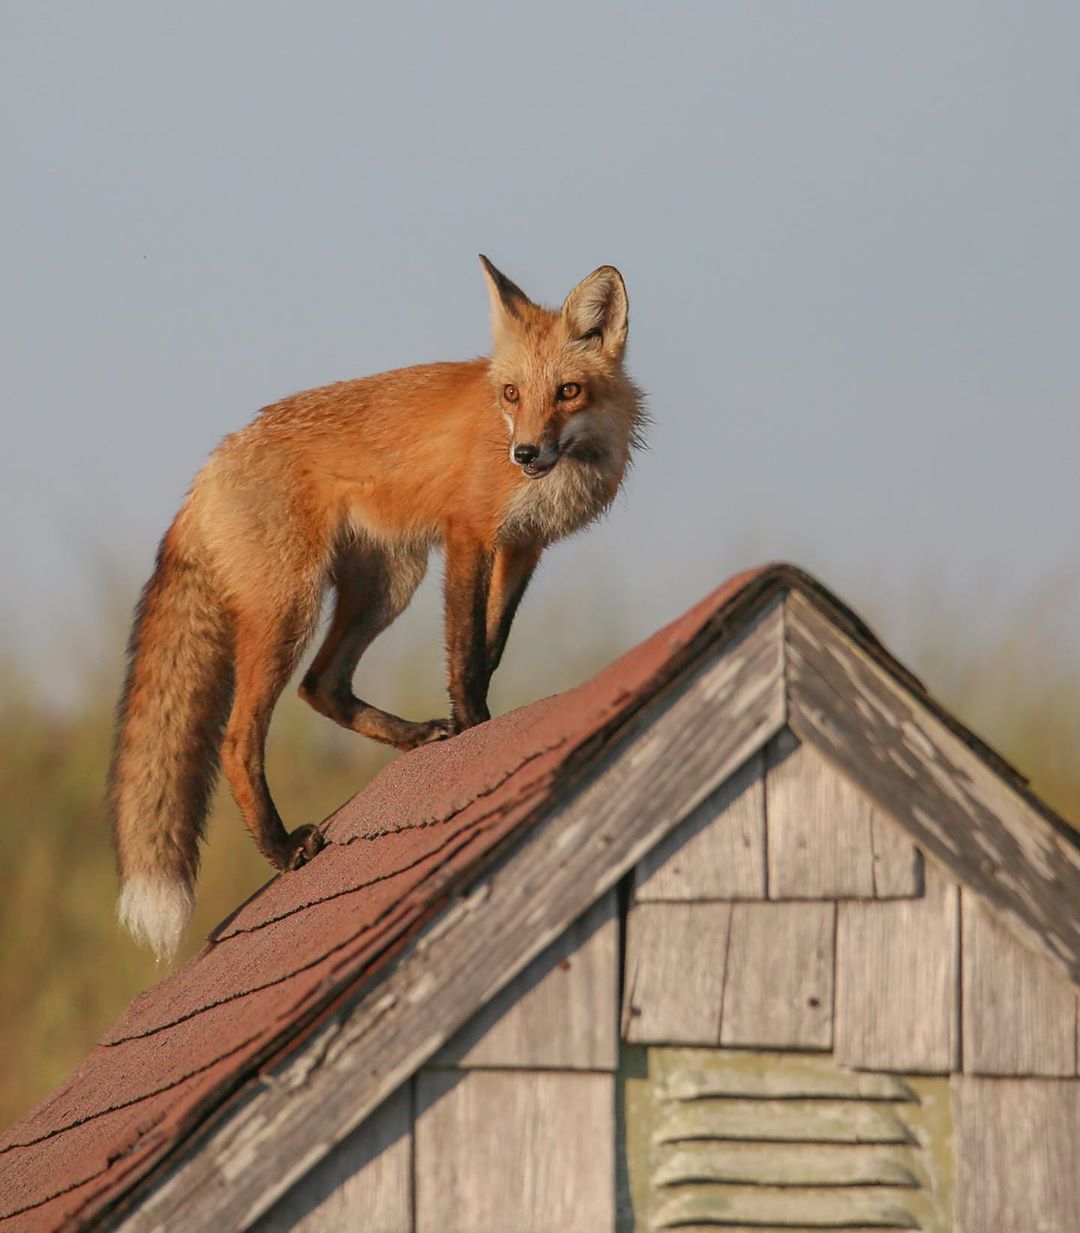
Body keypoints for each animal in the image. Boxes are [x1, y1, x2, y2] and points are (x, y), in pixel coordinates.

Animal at [109, 257, 645, 961]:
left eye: (567, 391)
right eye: (510, 394)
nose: (525, 454)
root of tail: (212, 465)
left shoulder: (521, 547)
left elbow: (493, 646)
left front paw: (474, 726)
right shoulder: (468, 534)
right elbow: (466, 652)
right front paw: (475, 727)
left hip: (386, 585)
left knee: (322, 686)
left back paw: (414, 736)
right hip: (293, 608)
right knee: (239, 738)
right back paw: (283, 848)